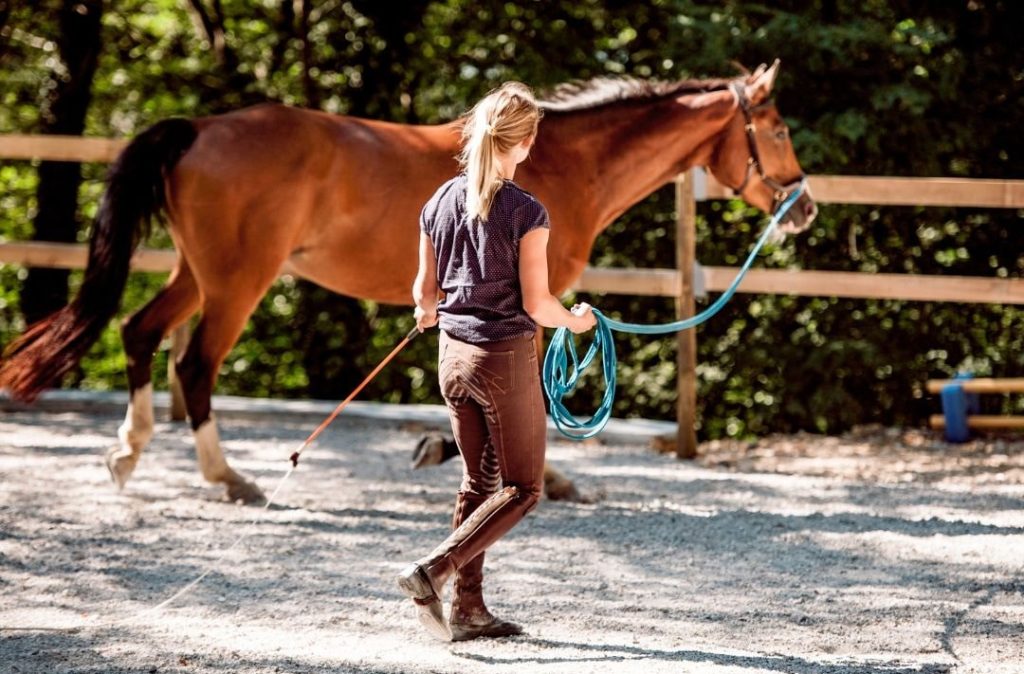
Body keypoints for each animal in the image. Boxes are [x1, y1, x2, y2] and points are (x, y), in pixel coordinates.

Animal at [0, 61, 817, 503]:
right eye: (777, 130)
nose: (804, 207)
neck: (562, 160)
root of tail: (199, 128)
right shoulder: (534, 297)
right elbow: (525, 387)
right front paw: (537, 475)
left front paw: (446, 448)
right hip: (237, 282)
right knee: (194, 363)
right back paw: (227, 476)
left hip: (196, 273)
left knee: (140, 333)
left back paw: (128, 455)